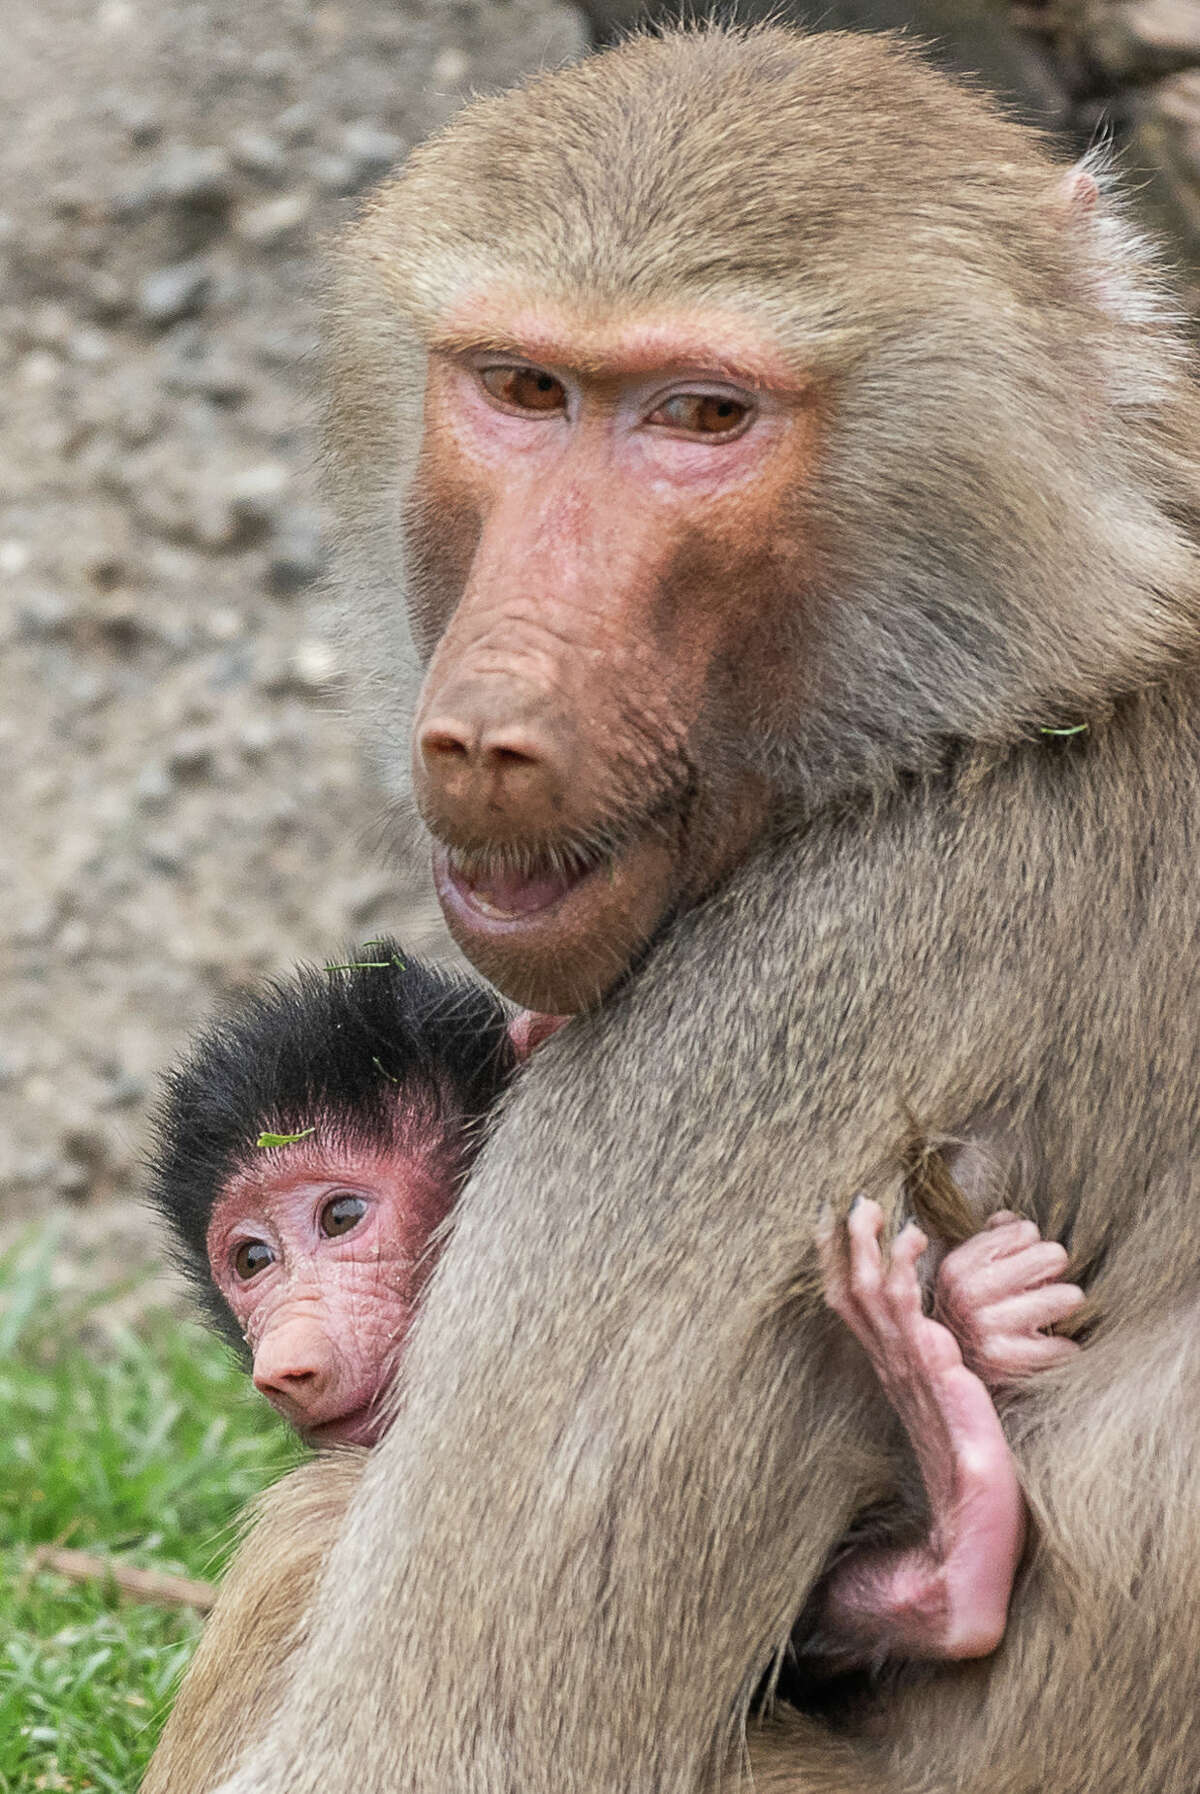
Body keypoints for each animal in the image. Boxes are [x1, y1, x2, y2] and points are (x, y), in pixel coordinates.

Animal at [192, 21, 1200, 1794]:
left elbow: (439, 1746)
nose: (490, 729)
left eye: (703, 415)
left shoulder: (782, 1016)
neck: (1024, 692)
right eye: (525, 388)